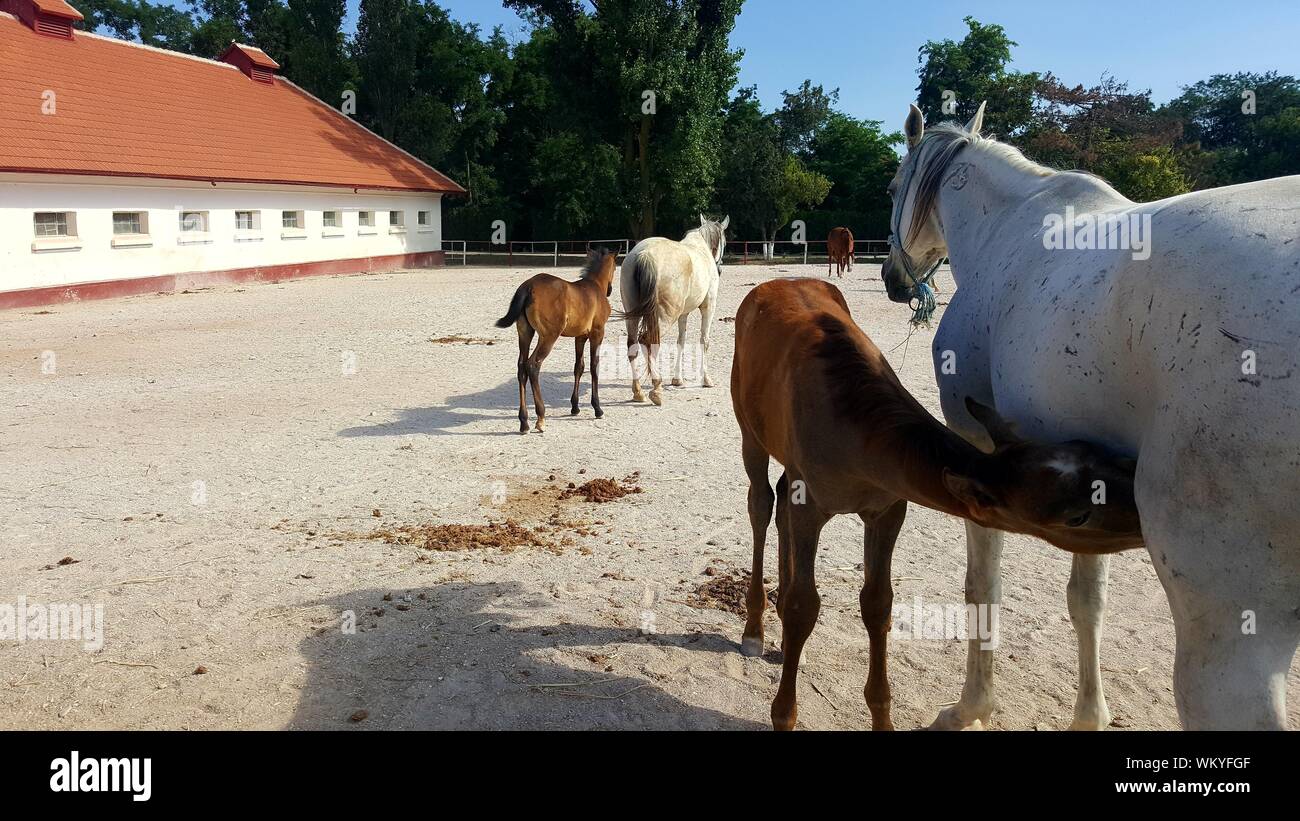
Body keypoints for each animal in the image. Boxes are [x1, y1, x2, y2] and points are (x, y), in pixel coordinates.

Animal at [495, 248, 617, 434]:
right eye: (616, 267)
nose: (610, 289)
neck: (594, 286)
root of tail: (528, 286)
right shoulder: (597, 333)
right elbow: (594, 367)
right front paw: (597, 408)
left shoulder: (580, 337)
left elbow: (578, 367)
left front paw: (575, 407)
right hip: (549, 336)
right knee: (533, 365)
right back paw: (540, 418)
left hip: (525, 333)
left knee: (521, 367)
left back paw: (524, 422)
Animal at [618, 215, 729, 406]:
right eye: (725, 242)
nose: (720, 269)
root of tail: (645, 254)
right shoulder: (708, 307)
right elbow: (704, 340)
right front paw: (706, 379)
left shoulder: (683, 313)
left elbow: (681, 341)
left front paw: (677, 379)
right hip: (665, 317)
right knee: (648, 341)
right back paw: (656, 389)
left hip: (633, 315)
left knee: (633, 345)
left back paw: (638, 392)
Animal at [732, 278, 1142, 731]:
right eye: (1077, 516)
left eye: (1104, 458)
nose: (1144, 509)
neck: (853, 427)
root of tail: (775, 283)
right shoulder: (810, 506)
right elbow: (803, 606)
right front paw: (783, 713)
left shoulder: (888, 509)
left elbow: (878, 603)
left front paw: (883, 718)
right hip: (750, 432)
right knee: (762, 503)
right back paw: (755, 629)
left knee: (780, 503)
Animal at [882, 101, 1300, 730]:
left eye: (890, 187)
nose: (891, 279)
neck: (1008, 229)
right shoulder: (1088, 473)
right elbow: (1087, 602)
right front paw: (1088, 715)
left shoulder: (978, 446)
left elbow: (983, 585)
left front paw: (971, 705)